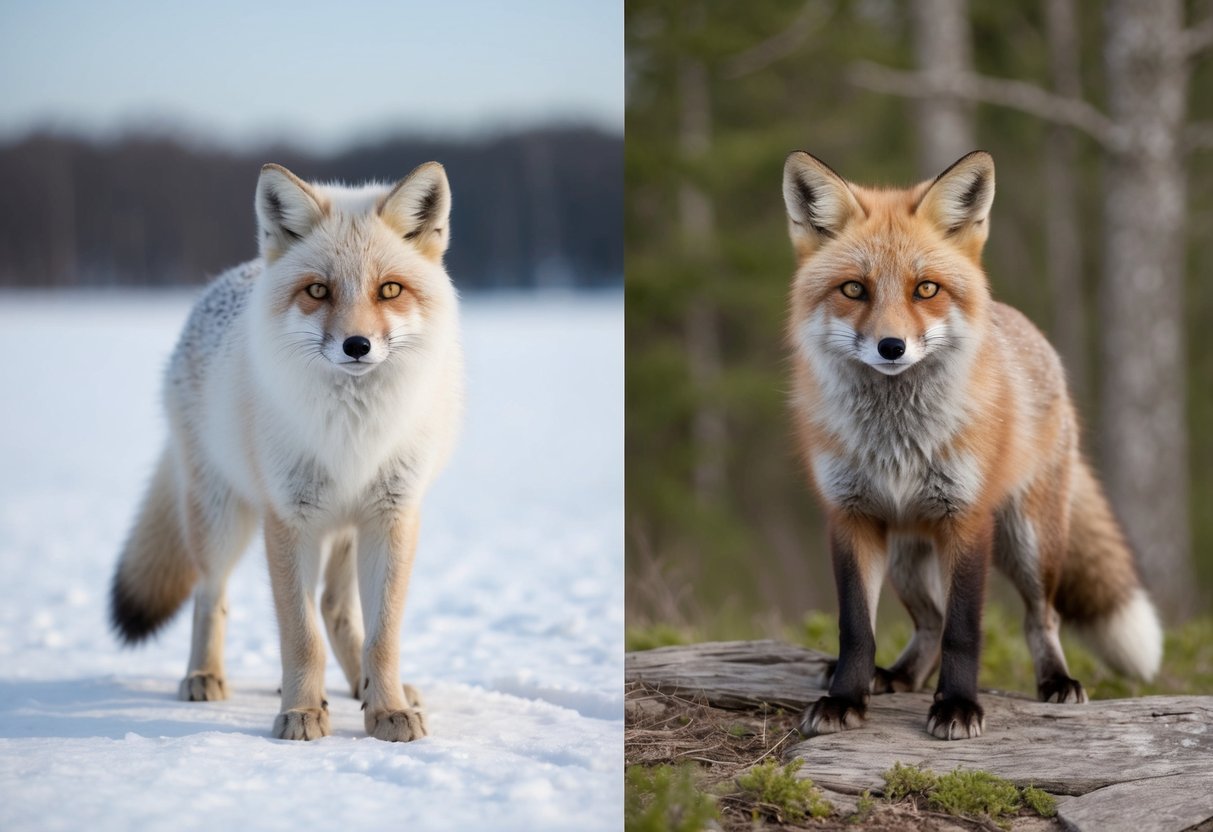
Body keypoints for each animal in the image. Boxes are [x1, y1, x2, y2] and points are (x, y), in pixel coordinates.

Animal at [108, 161, 462, 742]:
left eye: (389, 289)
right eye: (318, 290)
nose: (357, 346)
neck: (352, 433)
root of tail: (231, 276)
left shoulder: (392, 515)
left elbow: (381, 635)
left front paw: (385, 711)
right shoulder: (289, 519)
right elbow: (299, 635)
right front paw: (300, 712)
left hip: (344, 530)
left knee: (337, 610)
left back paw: (361, 688)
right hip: (223, 519)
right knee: (212, 595)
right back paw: (205, 676)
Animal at [781, 150, 1162, 741]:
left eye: (926, 289)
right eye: (853, 290)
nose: (891, 346)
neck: (897, 437)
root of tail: (1024, 325)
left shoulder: (966, 515)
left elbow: (964, 630)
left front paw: (958, 706)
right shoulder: (850, 516)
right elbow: (856, 628)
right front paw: (846, 697)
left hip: (1029, 541)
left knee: (1040, 617)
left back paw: (1056, 681)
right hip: (907, 553)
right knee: (929, 622)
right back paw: (897, 676)